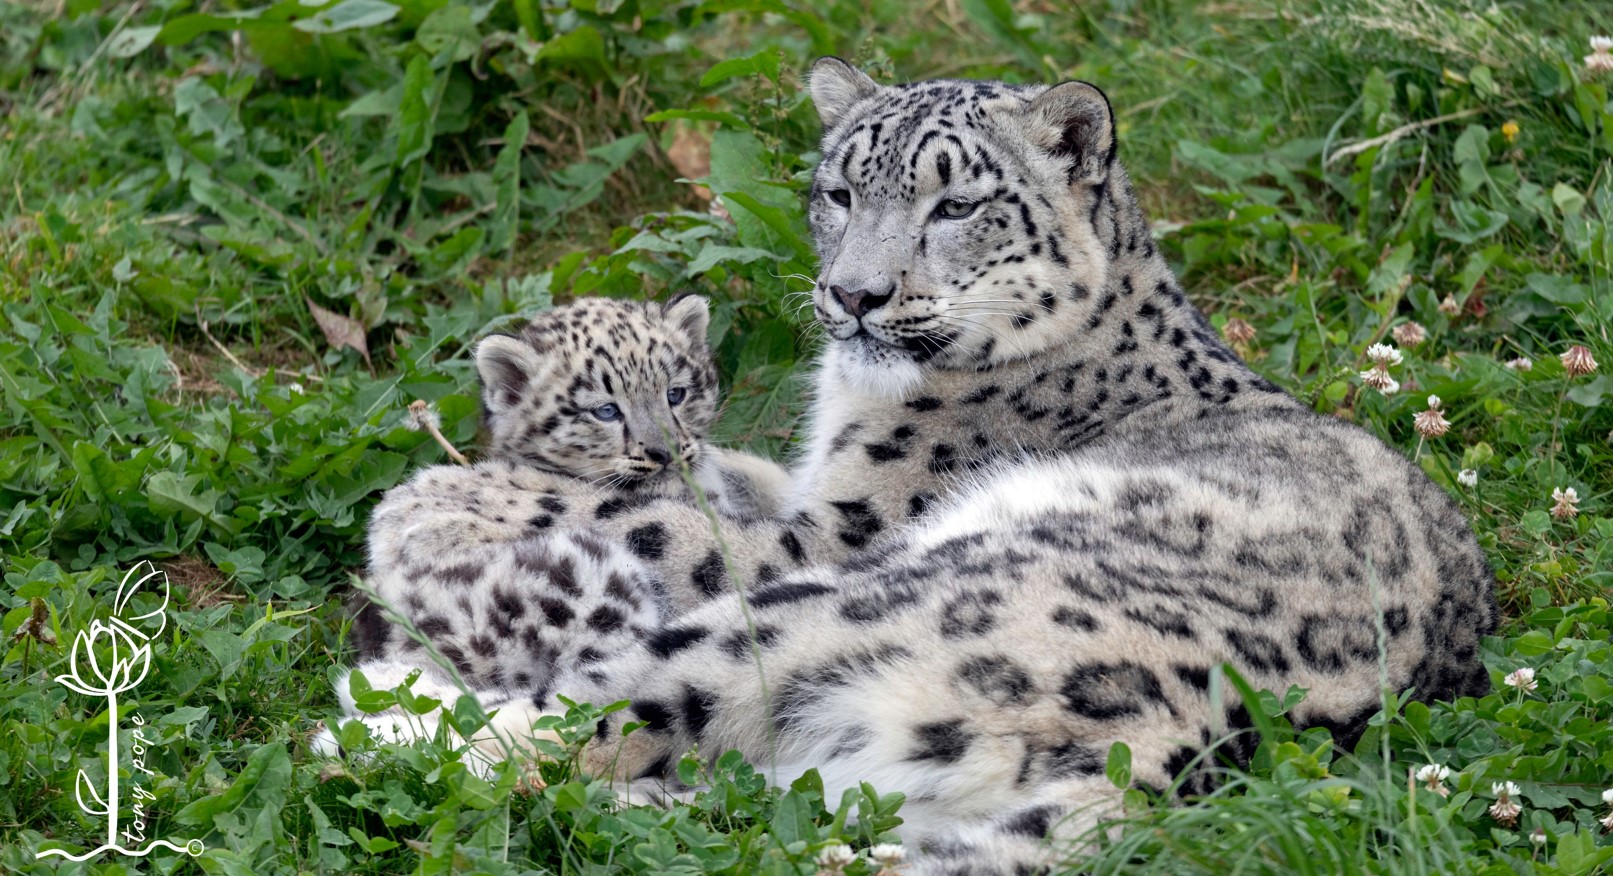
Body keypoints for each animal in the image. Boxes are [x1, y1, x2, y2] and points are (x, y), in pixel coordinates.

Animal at [322, 60, 1497, 874]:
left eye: (956, 203)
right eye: (838, 190)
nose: (854, 294)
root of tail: (1197, 744)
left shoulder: (838, 528)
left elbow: (670, 521)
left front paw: (433, 504)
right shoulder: (805, 482)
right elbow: (715, 471)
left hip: (822, 612)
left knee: (559, 730)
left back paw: (375, 706)